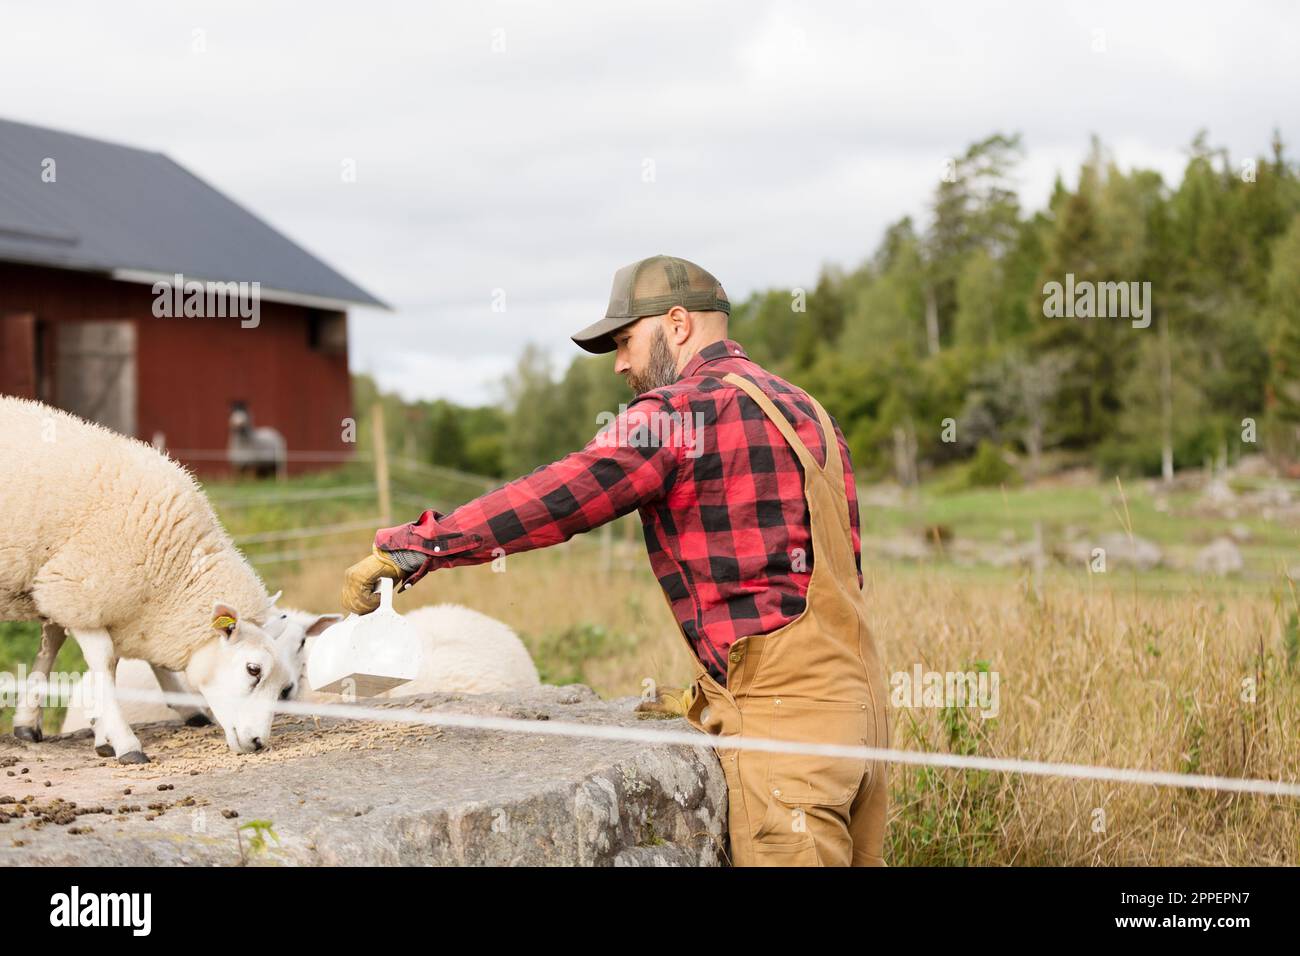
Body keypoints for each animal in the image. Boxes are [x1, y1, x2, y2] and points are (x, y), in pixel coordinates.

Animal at [0, 395, 299, 761]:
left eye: (283, 686)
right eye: (253, 670)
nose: (258, 742)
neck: (174, 566)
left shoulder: (75, 588)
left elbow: (59, 643)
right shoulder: (82, 586)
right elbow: (104, 659)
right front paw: (123, 740)